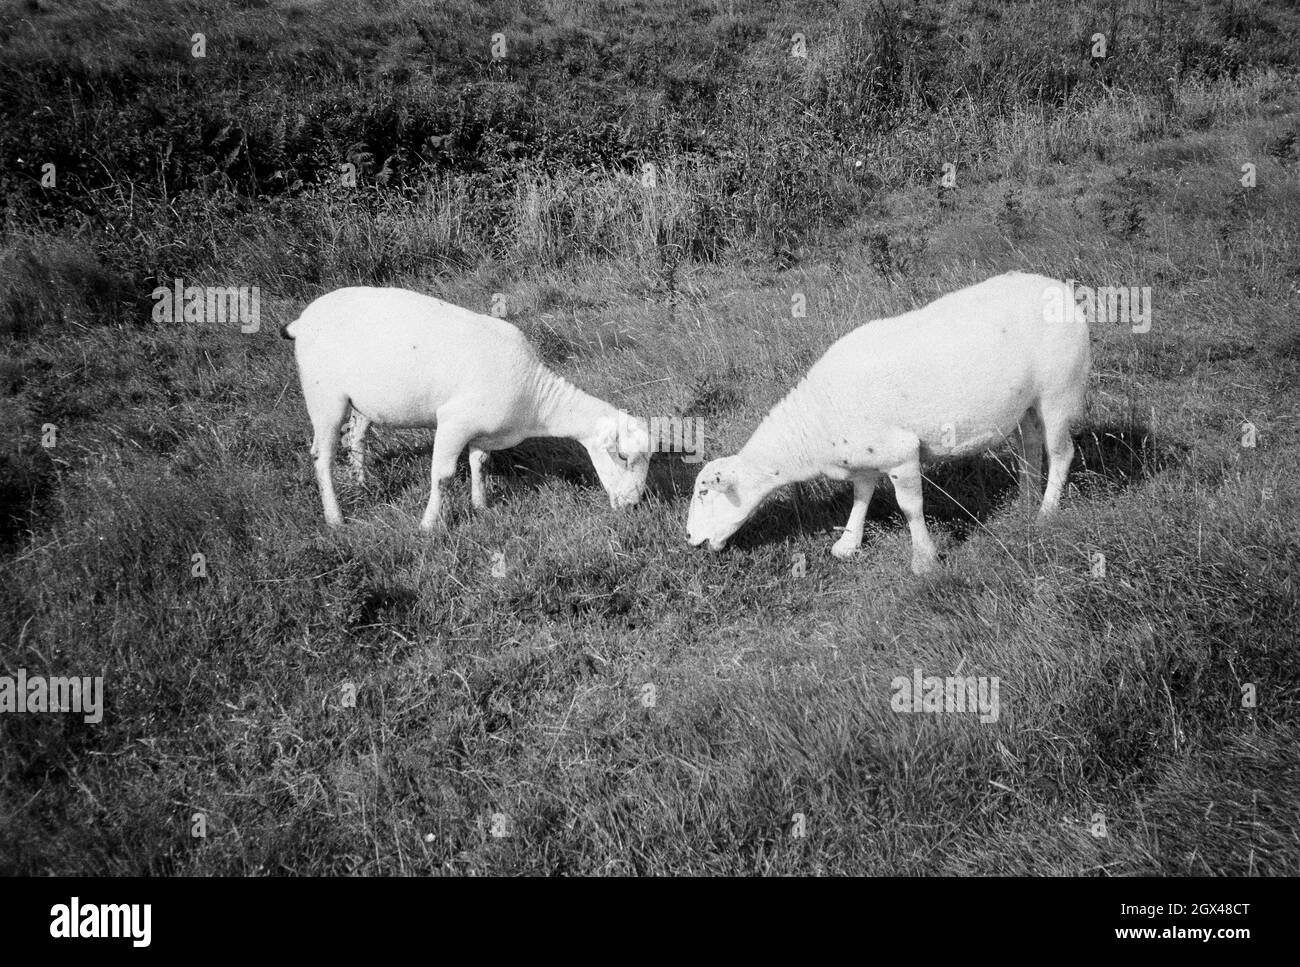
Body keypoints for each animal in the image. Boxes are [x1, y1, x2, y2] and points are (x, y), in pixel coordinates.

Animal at [281, 287, 652, 529]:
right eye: (621, 456)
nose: (634, 505)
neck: (535, 398)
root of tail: (302, 321)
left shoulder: (482, 430)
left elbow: (480, 463)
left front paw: (481, 505)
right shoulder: (454, 423)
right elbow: (442, 476)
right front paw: (430, 525)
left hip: (363, 400)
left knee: (355, 437)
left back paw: (362, 483)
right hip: (324, 397)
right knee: (322, 456)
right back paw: (335, 518)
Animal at [686, 272, 1091, 574]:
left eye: (704, 493)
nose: (689, 539)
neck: (813, 425)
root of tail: (1063, 291)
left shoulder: (901, 454)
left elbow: (910, 507)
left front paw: (924, 560)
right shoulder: (865, 454)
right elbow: (861, 495)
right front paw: (848, 543)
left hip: (1059, 390)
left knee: (1062, 453)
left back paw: (1046, 513)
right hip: (1028, 403)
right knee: (1031, 447)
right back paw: (1026, 500)